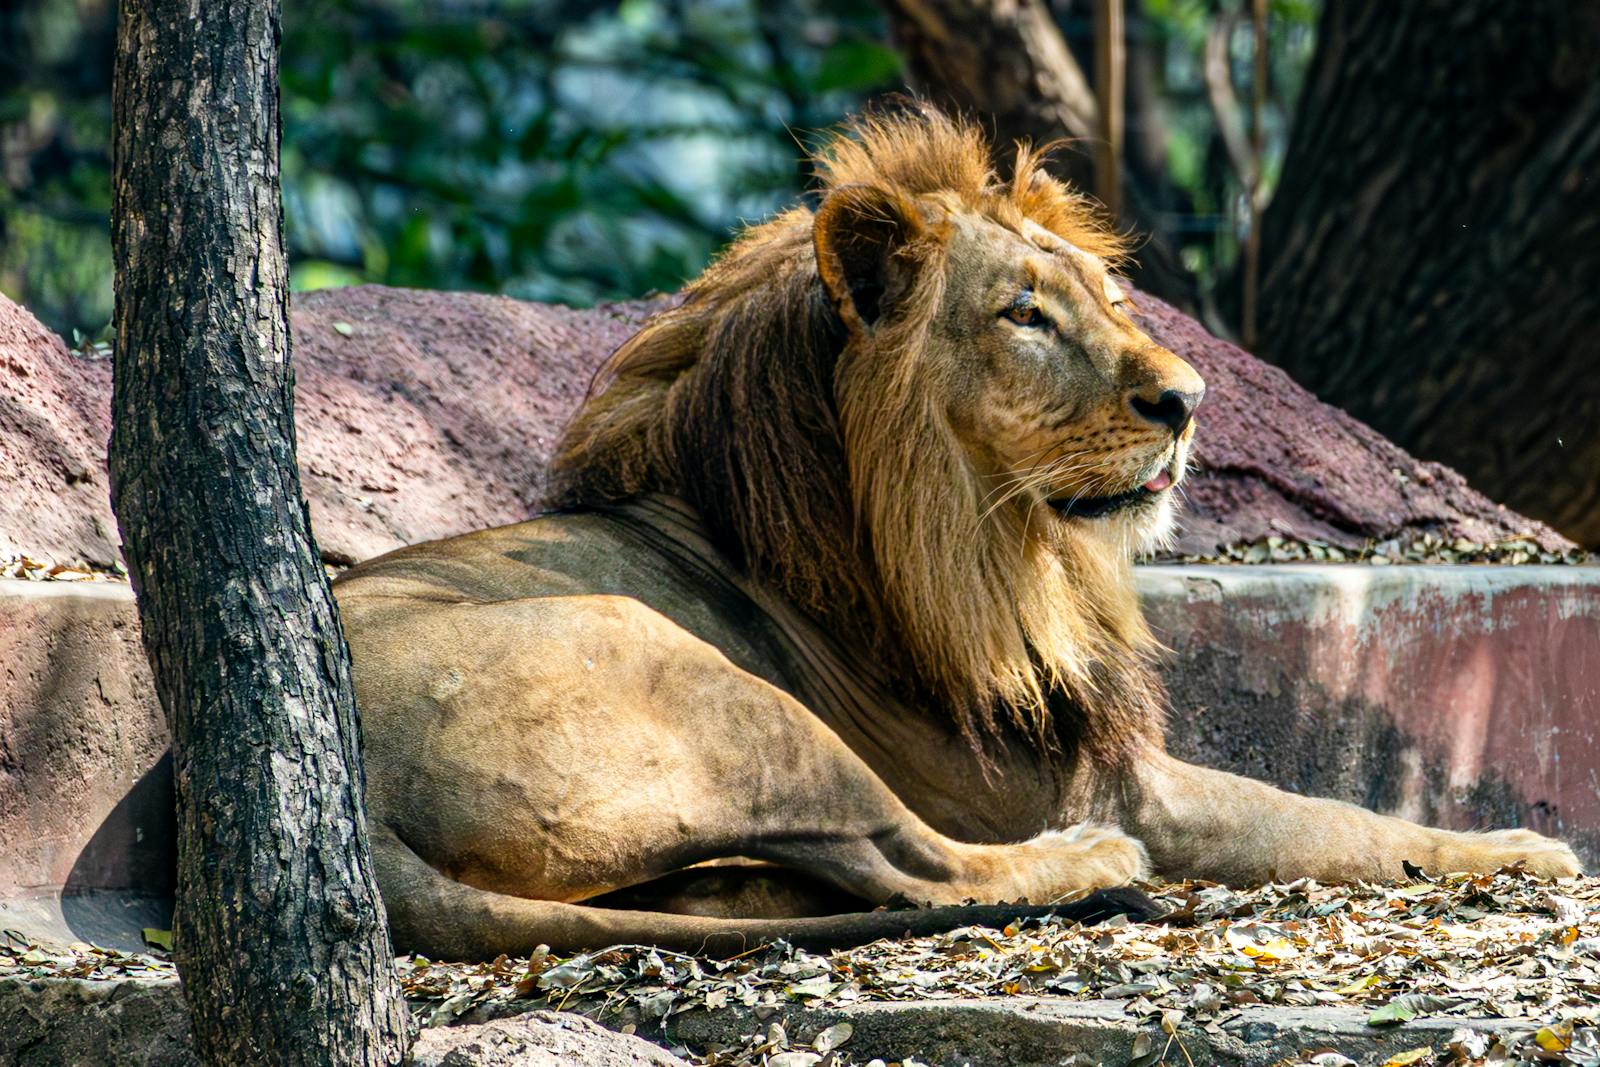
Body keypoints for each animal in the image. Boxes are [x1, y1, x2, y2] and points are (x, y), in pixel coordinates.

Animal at [335, 108, 1579, 961]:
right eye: (1023, 314)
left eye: (1109, 301)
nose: (1188, 401)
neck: (994, 550)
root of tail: (361, 814)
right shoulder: (1098, 782)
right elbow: (1340, 816)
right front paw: (1519, 849)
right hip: (699, 678)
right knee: (915, 865)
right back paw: (1084, 862)